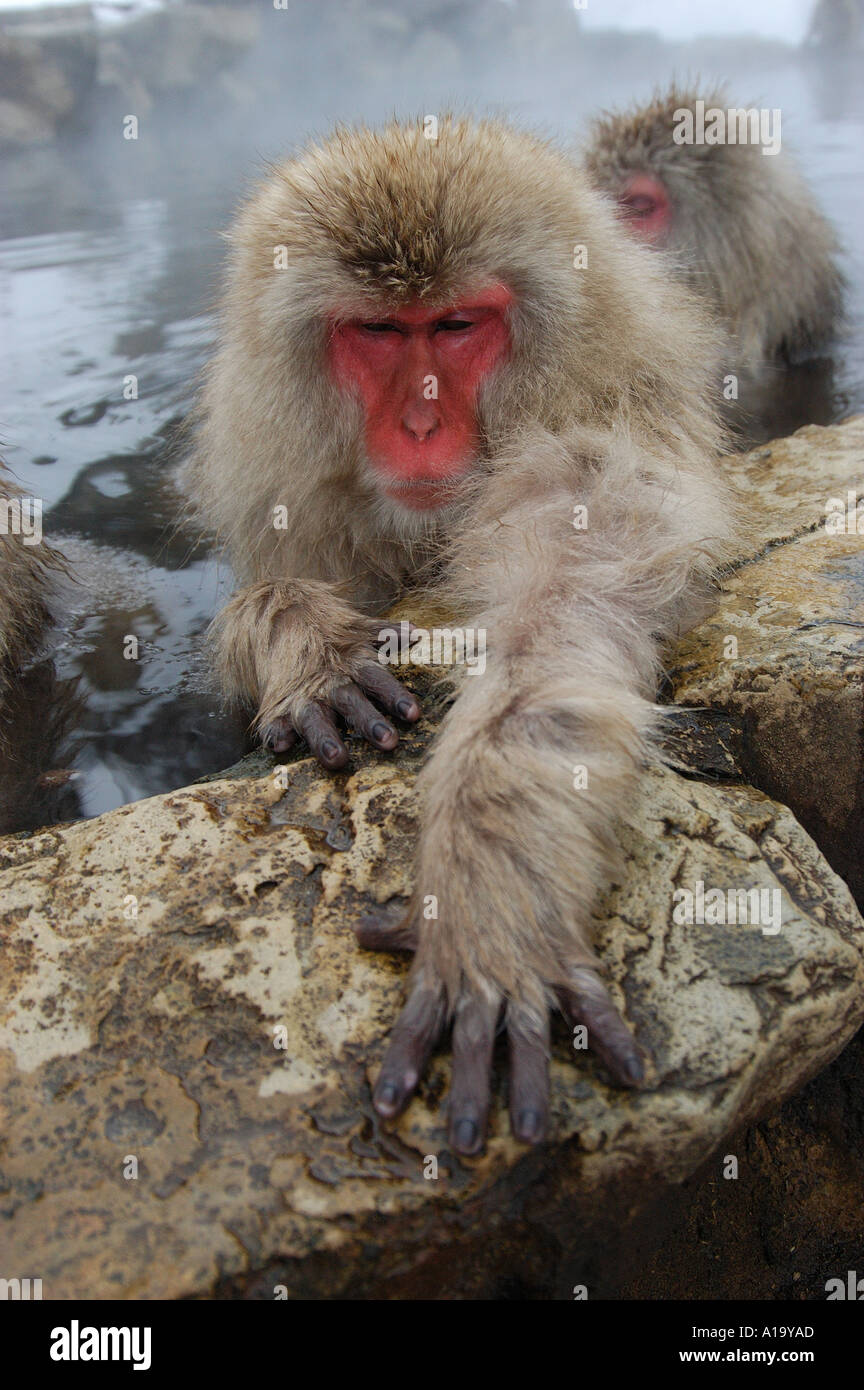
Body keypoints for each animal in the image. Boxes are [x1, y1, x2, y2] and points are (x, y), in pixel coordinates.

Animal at [185, 115, 737, 1154]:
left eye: (454, 326)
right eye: (376, 332)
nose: (418, 420)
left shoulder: (611, 432)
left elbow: (563, 615)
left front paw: (491, 882)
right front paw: (307, 648)